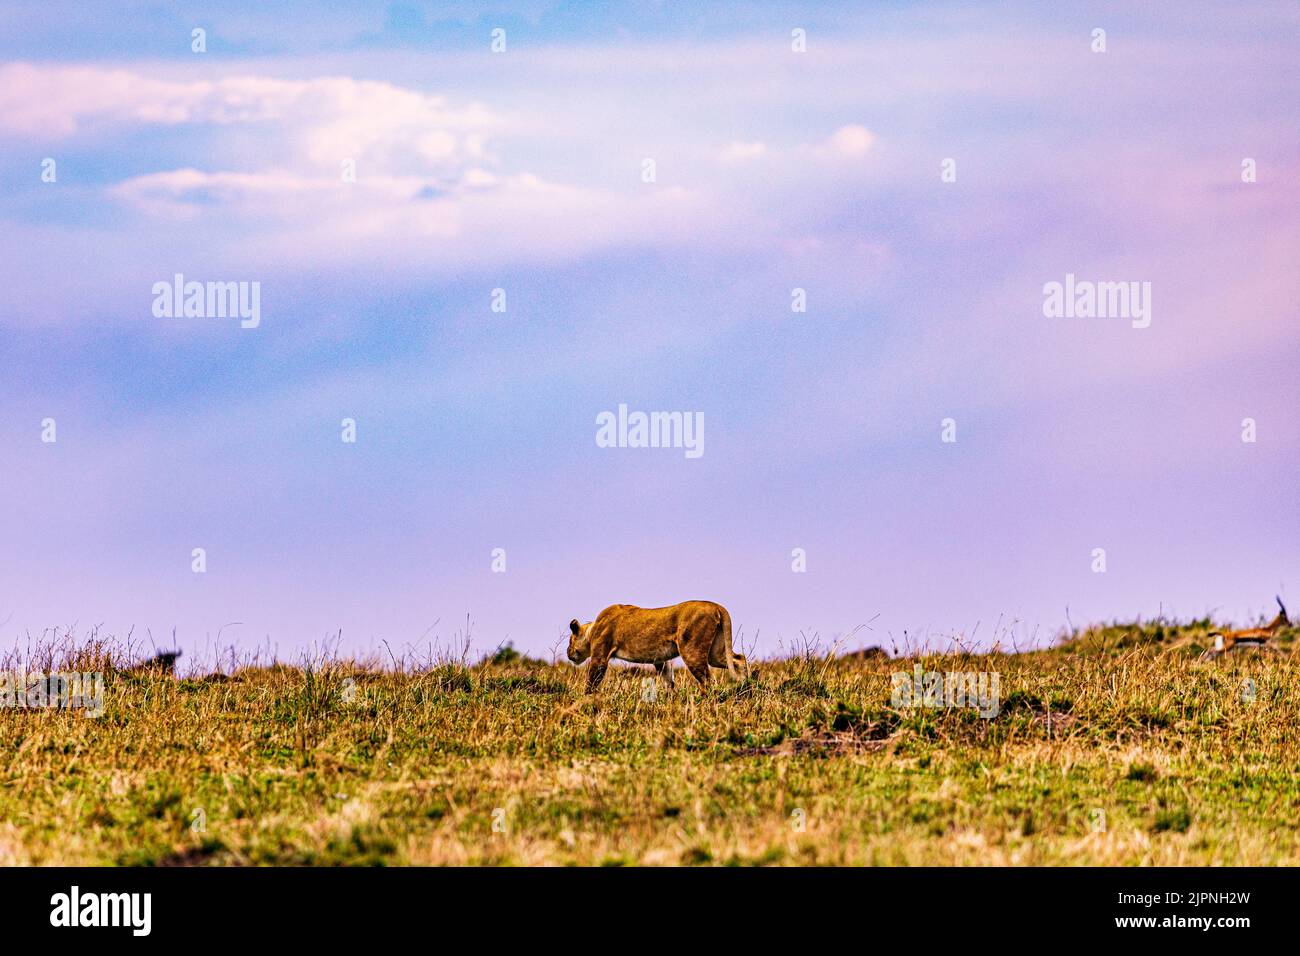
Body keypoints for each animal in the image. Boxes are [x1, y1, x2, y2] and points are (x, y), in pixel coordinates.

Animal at [567, 601, 747, 693]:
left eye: (569, 641)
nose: (568, 652)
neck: (591, 630)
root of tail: (716, 606)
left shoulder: (600, 655)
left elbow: (592, 680)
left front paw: (586, 698)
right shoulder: (660, 659)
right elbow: (668, 680)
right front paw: (671, 698)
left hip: (692, 651)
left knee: (707, 681)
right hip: (715, 654)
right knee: (740, 659)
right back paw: (747, 684)